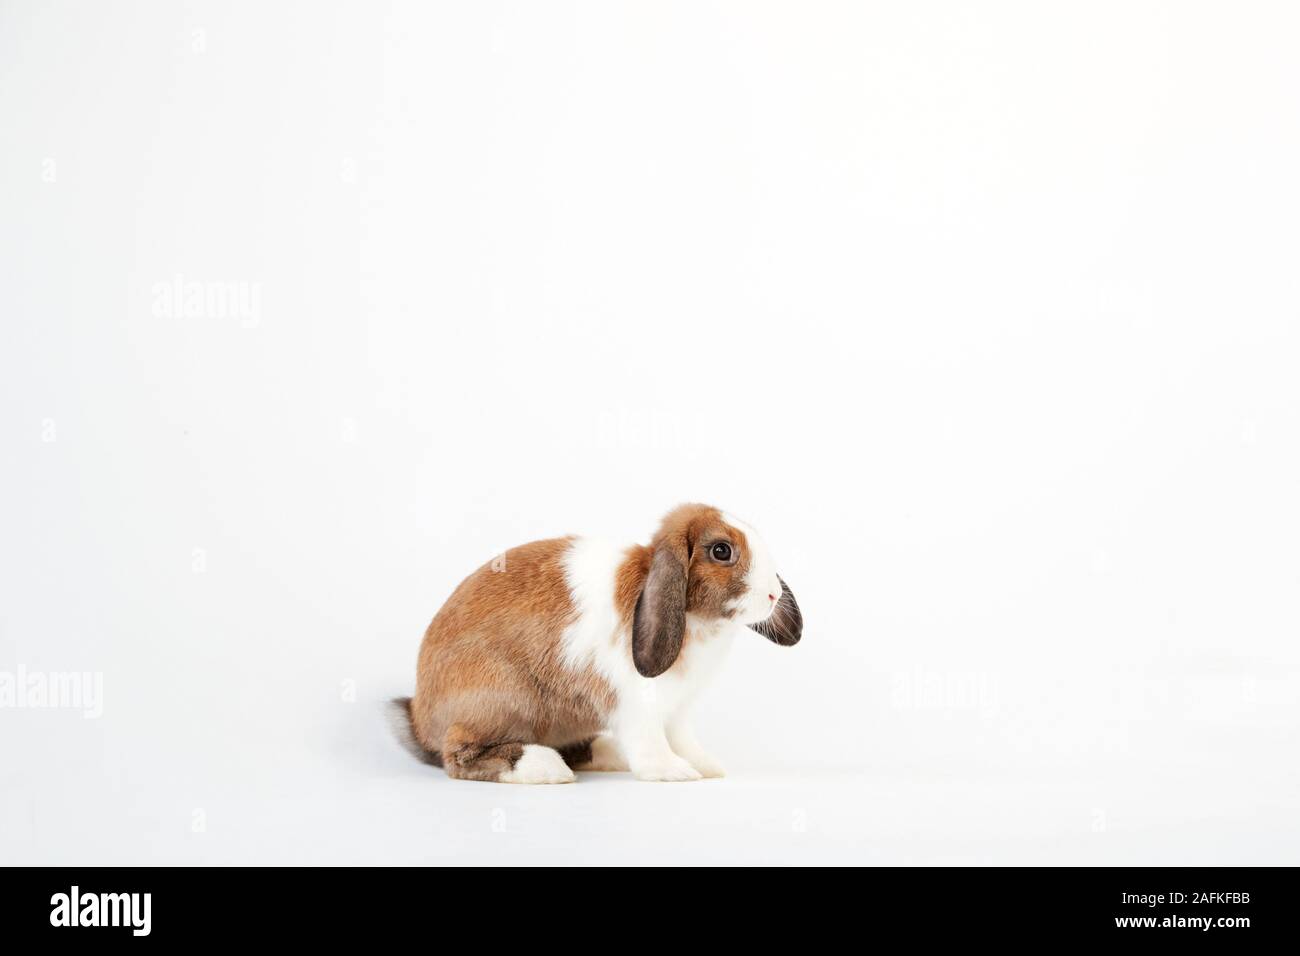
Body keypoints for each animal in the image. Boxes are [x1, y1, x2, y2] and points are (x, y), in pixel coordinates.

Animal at [391, 503, 802, 783]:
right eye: (721, 551)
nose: (772, 594)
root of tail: (420, 718)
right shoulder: (637, 703)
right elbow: (651, 741)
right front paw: (672, 771)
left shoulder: (678, 710)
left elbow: (683, 739)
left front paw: (706, 766)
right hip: (498, 699)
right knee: (458, 757)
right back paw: (545, 768)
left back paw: (607, 752)